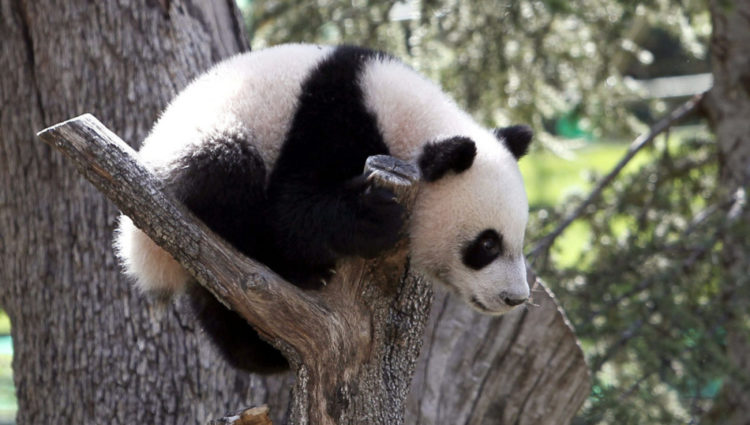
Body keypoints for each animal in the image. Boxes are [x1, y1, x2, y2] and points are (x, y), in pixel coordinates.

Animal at [115, 44, 532, 374]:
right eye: (487, 245)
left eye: (519, 240)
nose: (515, 298)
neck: (412, 121)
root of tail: (136, 250)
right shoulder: (328, 118)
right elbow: (291, 208)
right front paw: (372, 217)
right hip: (205, 146)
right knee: (225, 175)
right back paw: (296, 272)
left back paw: (261, 352)